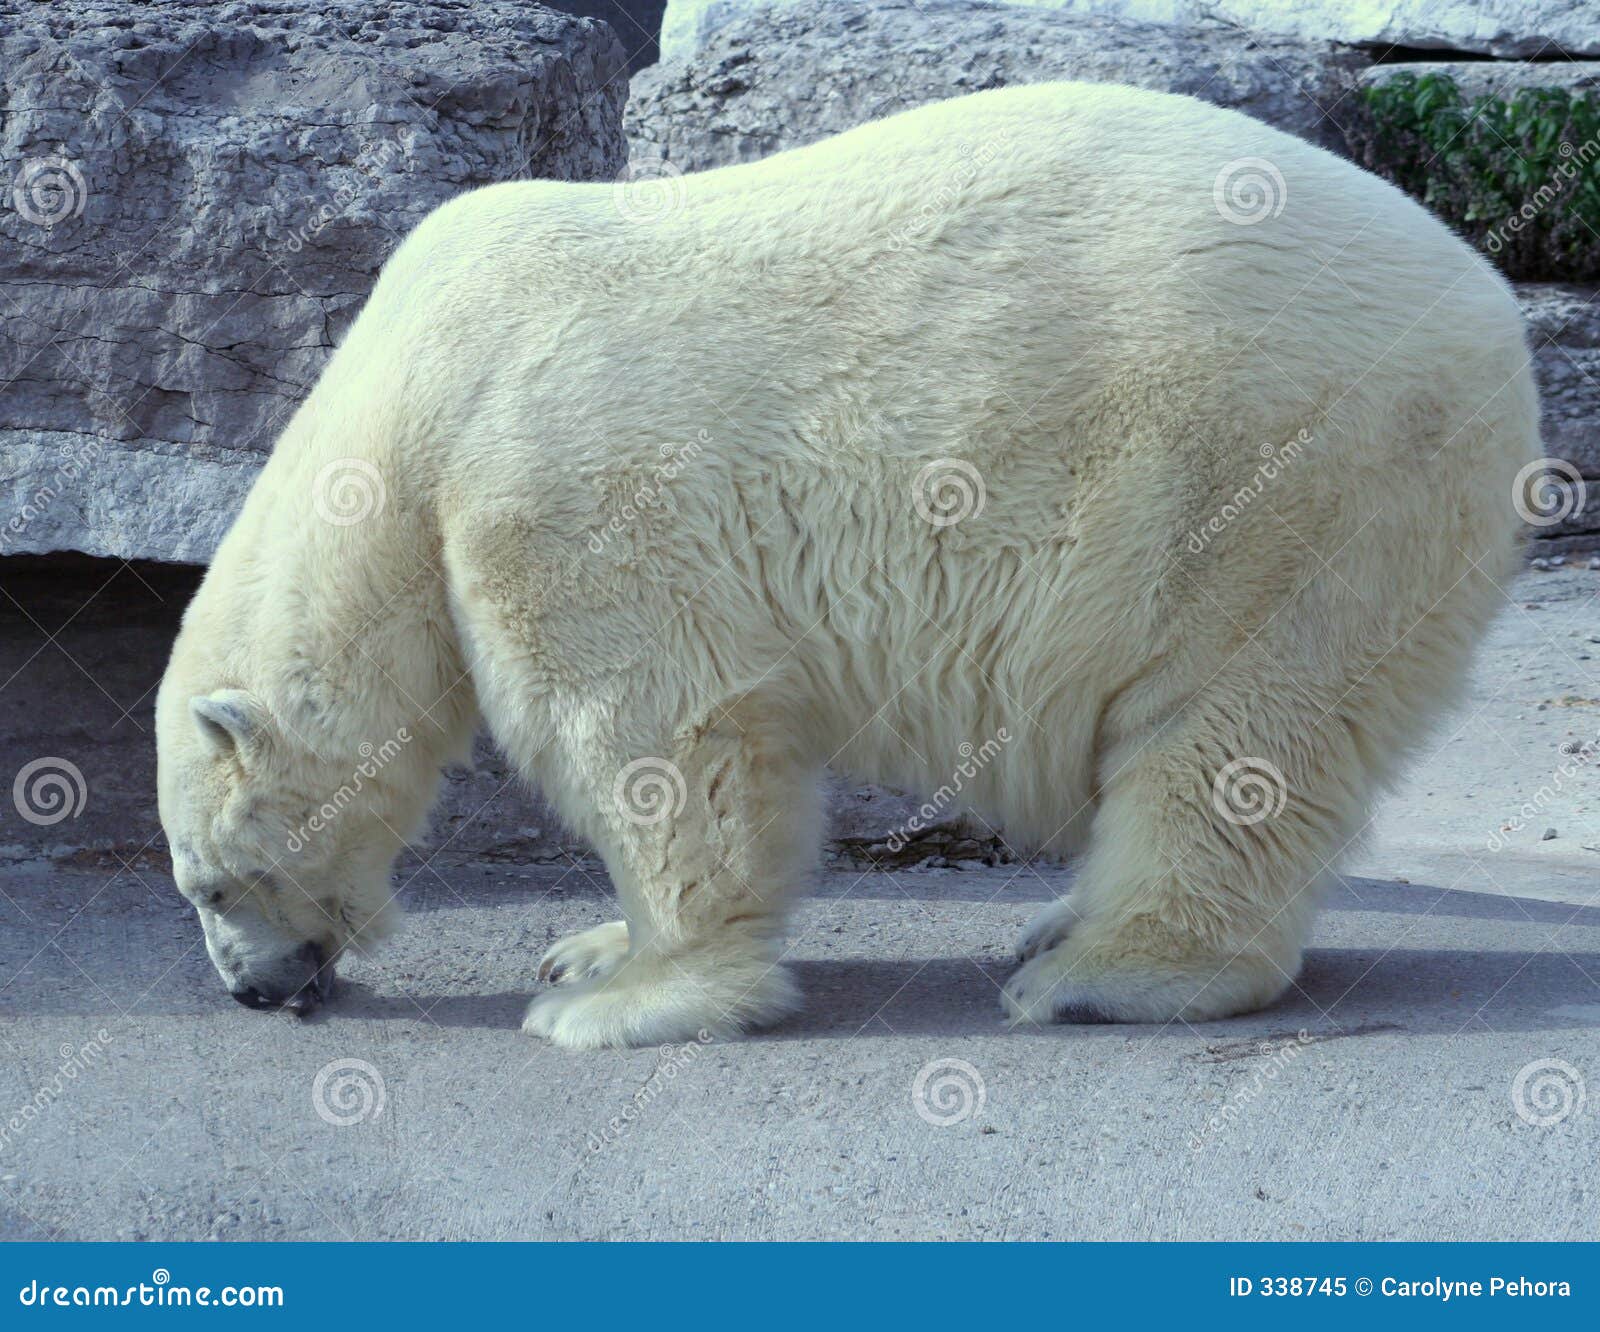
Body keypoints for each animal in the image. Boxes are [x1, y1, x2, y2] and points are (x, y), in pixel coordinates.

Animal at [155, 81, 1539, 1048]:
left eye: (216, 885)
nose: (252, 994)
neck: (414, 400)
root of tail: (1496, 320)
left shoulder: (552, 487)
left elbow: (651, 730)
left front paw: (623, 998)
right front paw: (586, 951)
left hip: (1282, 474)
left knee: (1232, 725)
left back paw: (1100, 974)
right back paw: (1061, 923)